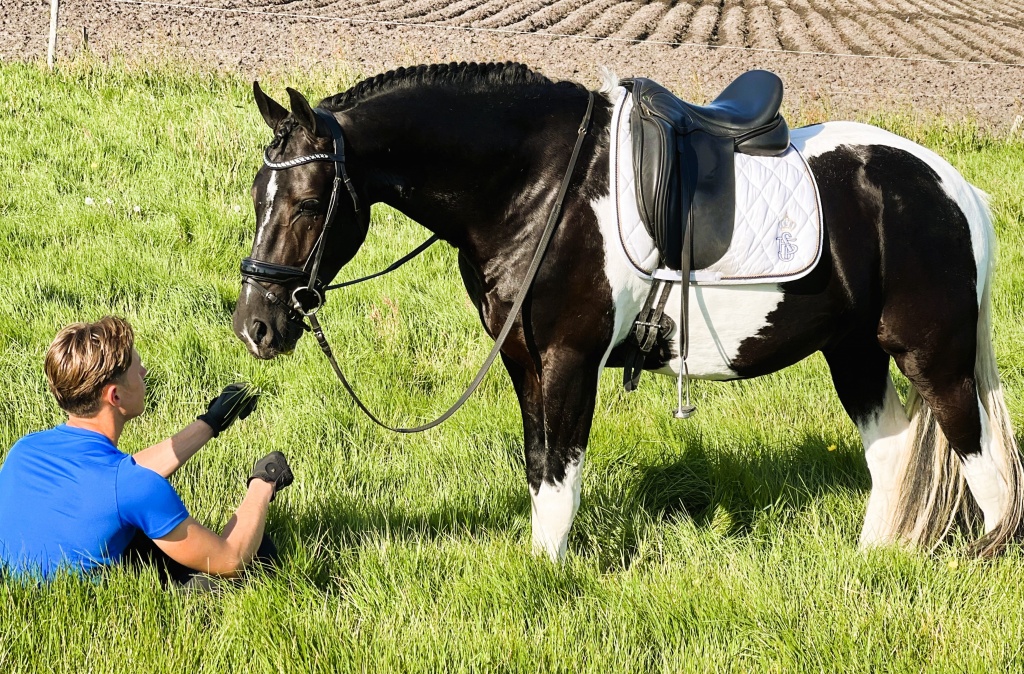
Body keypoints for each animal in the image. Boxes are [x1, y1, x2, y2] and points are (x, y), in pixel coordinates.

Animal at [231, 61, 1024, 560]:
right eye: (257, 196)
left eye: (309, 202)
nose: (255, 326)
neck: (540, 186)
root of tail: (954, 188)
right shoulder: (523, 361)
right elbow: (539, 466)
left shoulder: (569, 361)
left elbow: (560, 475)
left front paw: (547, 577)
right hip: (854, 351)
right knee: (891, 450)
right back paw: (870, 561)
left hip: (935, 358)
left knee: (982, 460)